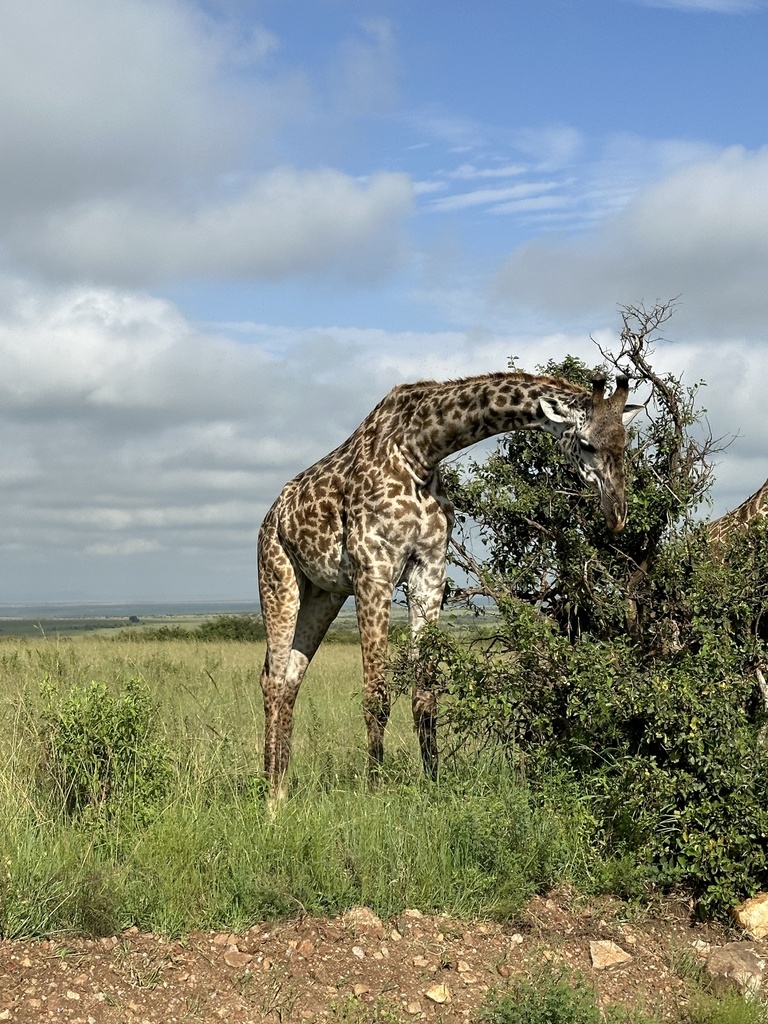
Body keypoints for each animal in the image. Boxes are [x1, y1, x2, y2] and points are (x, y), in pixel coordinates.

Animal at [257, 370, 642, 800]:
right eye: (588, 444)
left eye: (625, 443)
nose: (617, 514)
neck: (420, 451)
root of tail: (271, 516)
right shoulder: (374, 569)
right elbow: (376, 694)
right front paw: (375, 789)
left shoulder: (429, 570)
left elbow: (425, 693)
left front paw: (433, 782)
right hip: (278, 577)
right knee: (272, 678)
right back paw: (272, 793)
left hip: (324, 595)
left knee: (290, 675)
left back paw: (280, 782)